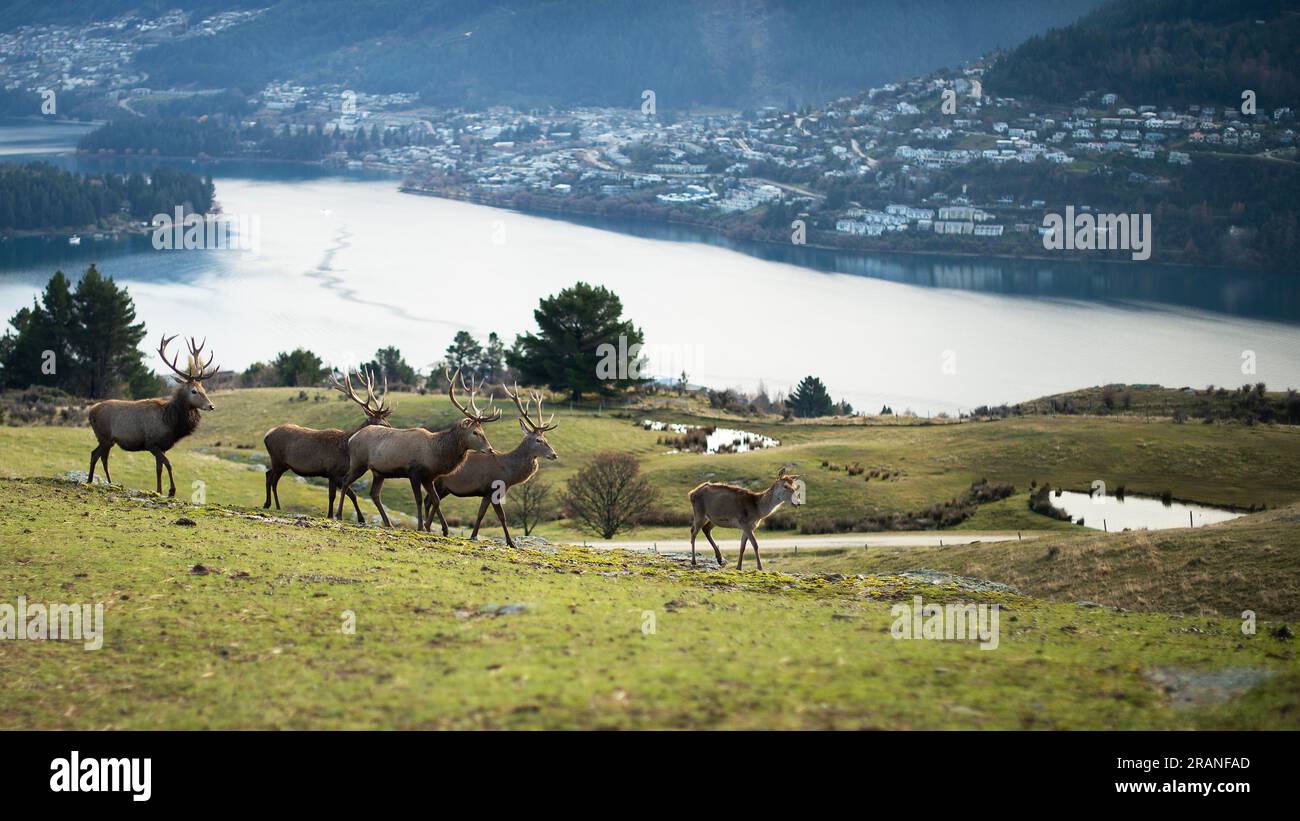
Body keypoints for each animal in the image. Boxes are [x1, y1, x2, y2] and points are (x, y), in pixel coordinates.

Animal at [86, 334, 220, 497]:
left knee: (101, 456)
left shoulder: (161, 446)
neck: (170, 422)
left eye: (203, 389)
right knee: (95, 455)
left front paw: (159, 491)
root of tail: (91, 411)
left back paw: (107, 482)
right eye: (194, 391)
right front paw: (171, 491)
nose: (211, 406)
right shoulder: (151, 443)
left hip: (108, 440)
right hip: (103, 436)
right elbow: (168, 464)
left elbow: (159, 468)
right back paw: (90, 481)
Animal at [262, 366, 393, 522]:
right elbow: (336, 495)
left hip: (282, 464)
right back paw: (273, 505)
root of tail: (267, 435)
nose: (392, 430)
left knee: (268, 474)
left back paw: (270, 504)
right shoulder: (332, 471)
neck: (347, 451)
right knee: (272, 479)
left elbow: (349, 494)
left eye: (386, 421)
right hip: (278, 460)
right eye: (381, 423)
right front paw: (336, 515)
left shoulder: (338, 474)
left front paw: (353, 517)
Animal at [340, 368, 500, 531]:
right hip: (359, 463)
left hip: (379, 472)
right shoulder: (414, 472)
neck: (435, 455)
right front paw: (421, 526)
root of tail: (352, 438)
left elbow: (436, 499)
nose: (490, 449)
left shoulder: (429, 477)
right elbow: (418, 499)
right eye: (474, 432)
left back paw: (389, 523)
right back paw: (339, 514)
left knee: (374, 494)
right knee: (345, 481)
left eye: (483, 431)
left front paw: (444, 529)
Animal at [425, 383, 558, 546]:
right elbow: (499, 516)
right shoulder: (491, 489)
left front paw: (474, 535)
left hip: (445, 488)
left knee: (429, 501)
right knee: (431, 500)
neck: (508, 472)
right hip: (439, 482)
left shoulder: (489, 493)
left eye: (546, 438)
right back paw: (432, 527)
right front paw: (510, 542)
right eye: (538, 440)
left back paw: (428, 527)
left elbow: (482, 513)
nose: (554, 454)